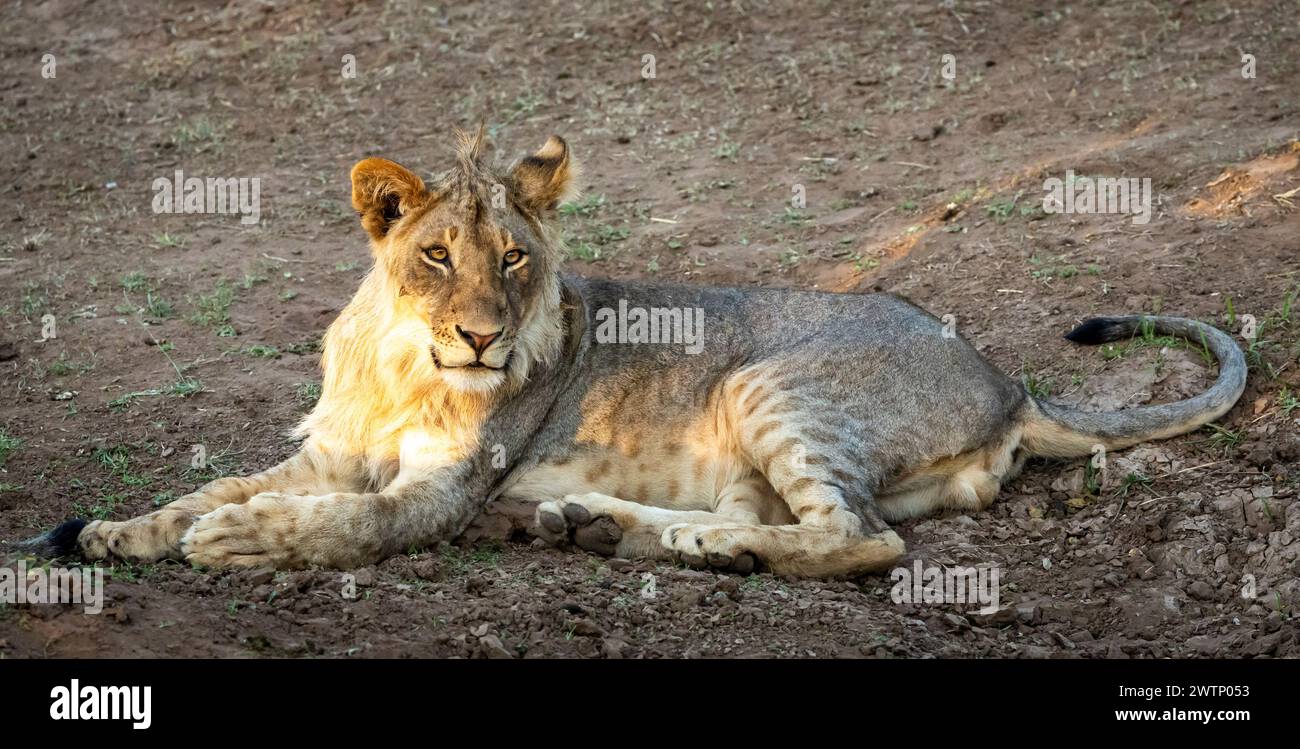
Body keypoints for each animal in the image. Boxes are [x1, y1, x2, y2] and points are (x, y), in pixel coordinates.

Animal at [29, 130, 1246, 578]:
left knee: (858, 539)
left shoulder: (443, 487)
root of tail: (1008, 377)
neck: (404, 365)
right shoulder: (324, 451)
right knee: (783, 517)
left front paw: (238, 541)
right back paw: (606, 526)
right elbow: (213, 484)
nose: (484, 335)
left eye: (515, 258)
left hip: (770, 381)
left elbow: (344, 522)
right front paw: (114, 531)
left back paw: (693, 548)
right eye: (436, 254)